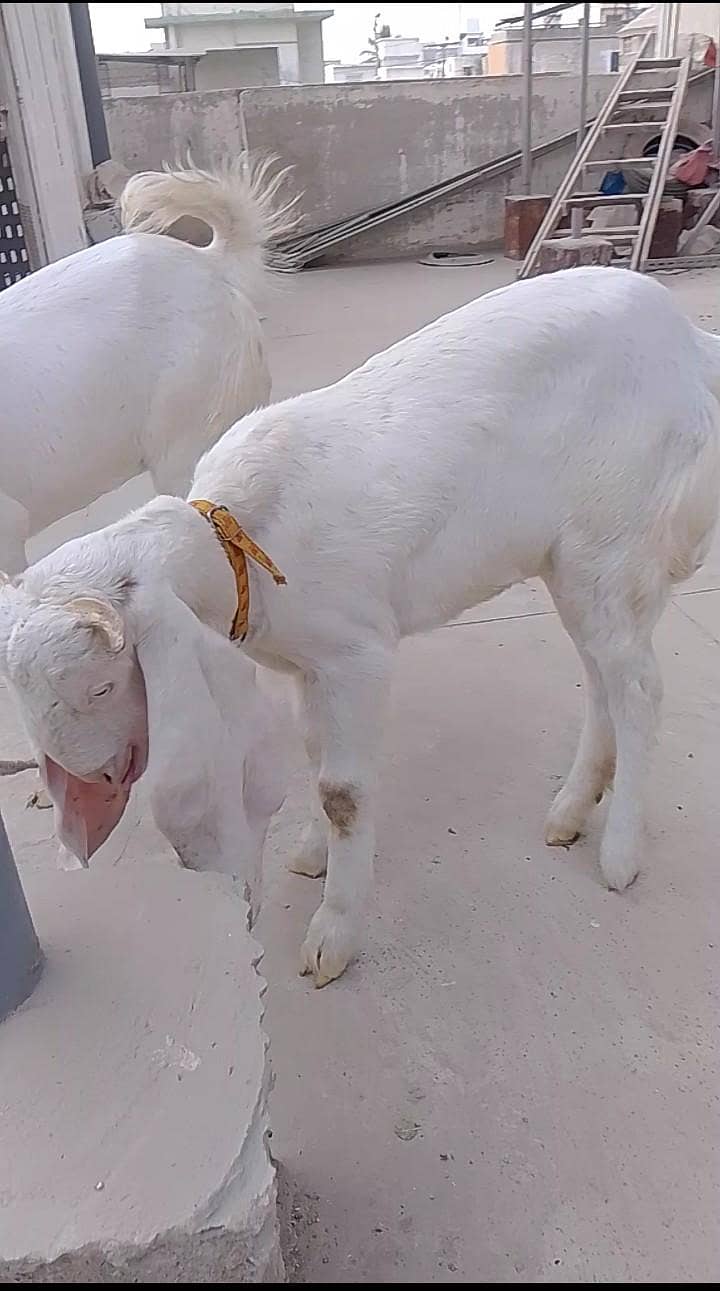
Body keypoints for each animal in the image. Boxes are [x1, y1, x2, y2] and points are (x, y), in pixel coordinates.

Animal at [0, 267, 717, 987]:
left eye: (100, 686)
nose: (90, 787)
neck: (242, 548)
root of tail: (689, 341)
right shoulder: (308, 665)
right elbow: (318, 754)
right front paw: (314, 852)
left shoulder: (357, 655)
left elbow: (340, 790)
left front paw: (332, 935)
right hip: (572, 563)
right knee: (601, 676)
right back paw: (572, 808)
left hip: (615, 537)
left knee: (638, 689)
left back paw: (620, 852)